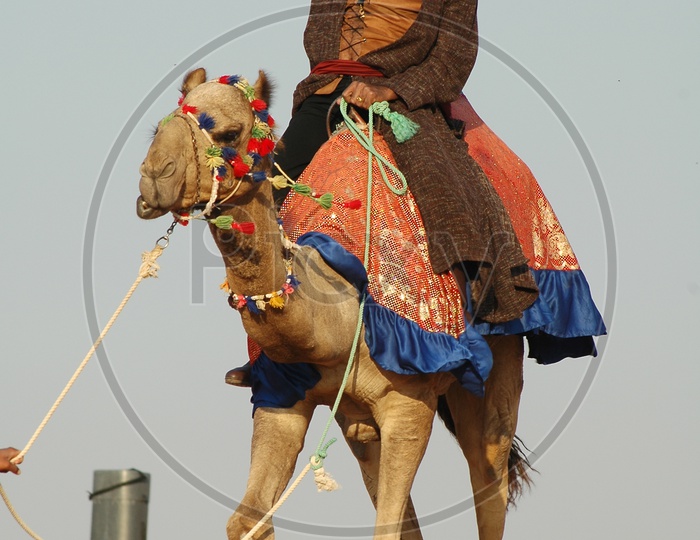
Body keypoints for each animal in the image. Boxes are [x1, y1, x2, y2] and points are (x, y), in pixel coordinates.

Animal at [136, 68, 529, 540]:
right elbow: (247, 519)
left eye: (230, 132)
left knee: (489, 478)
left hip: (498, 359)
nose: (154, 176)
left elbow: (387, 527)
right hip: (359, 422)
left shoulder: (410, 402)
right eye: (158, 128)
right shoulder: (282, 394)